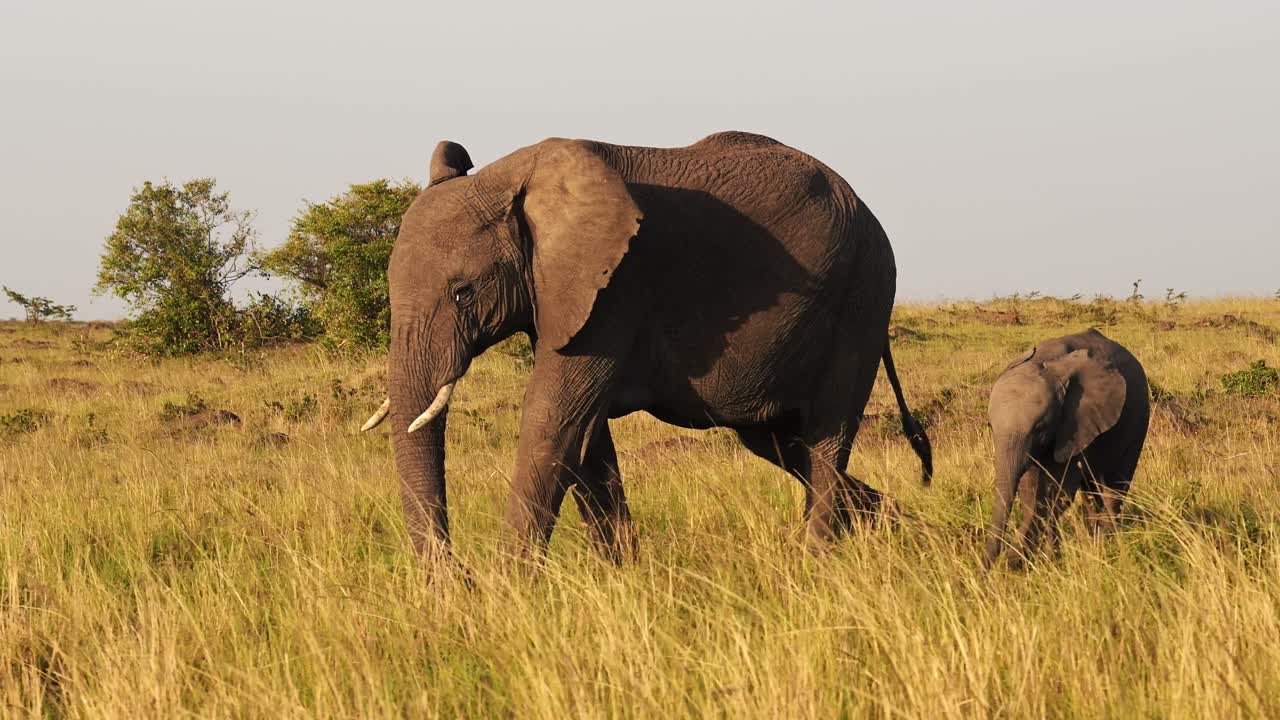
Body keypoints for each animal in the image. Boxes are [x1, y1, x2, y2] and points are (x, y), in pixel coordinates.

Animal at [360, 131, 934, 566]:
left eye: (463, 293)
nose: (456, 581)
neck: (516, 178)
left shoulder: (619, 285)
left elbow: (554, 421)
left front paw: (507, 596)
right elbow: (586, 440)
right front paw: (624, 577)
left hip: (862, 297)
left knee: (824, 437)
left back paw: (816, 563)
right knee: (780, 442)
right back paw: (897, 526)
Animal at [984, 328, 1149, 569]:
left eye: (1040, 428)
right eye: (990, 426)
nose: (983, 571)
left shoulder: (1075, 424)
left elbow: (1058, 494)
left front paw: (1016, 560)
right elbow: (1031, 492)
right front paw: (1044, 560)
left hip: (1138, 419)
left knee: (1114, 487)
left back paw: (1109, 546)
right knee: (1091, 492)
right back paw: (1093, 540)